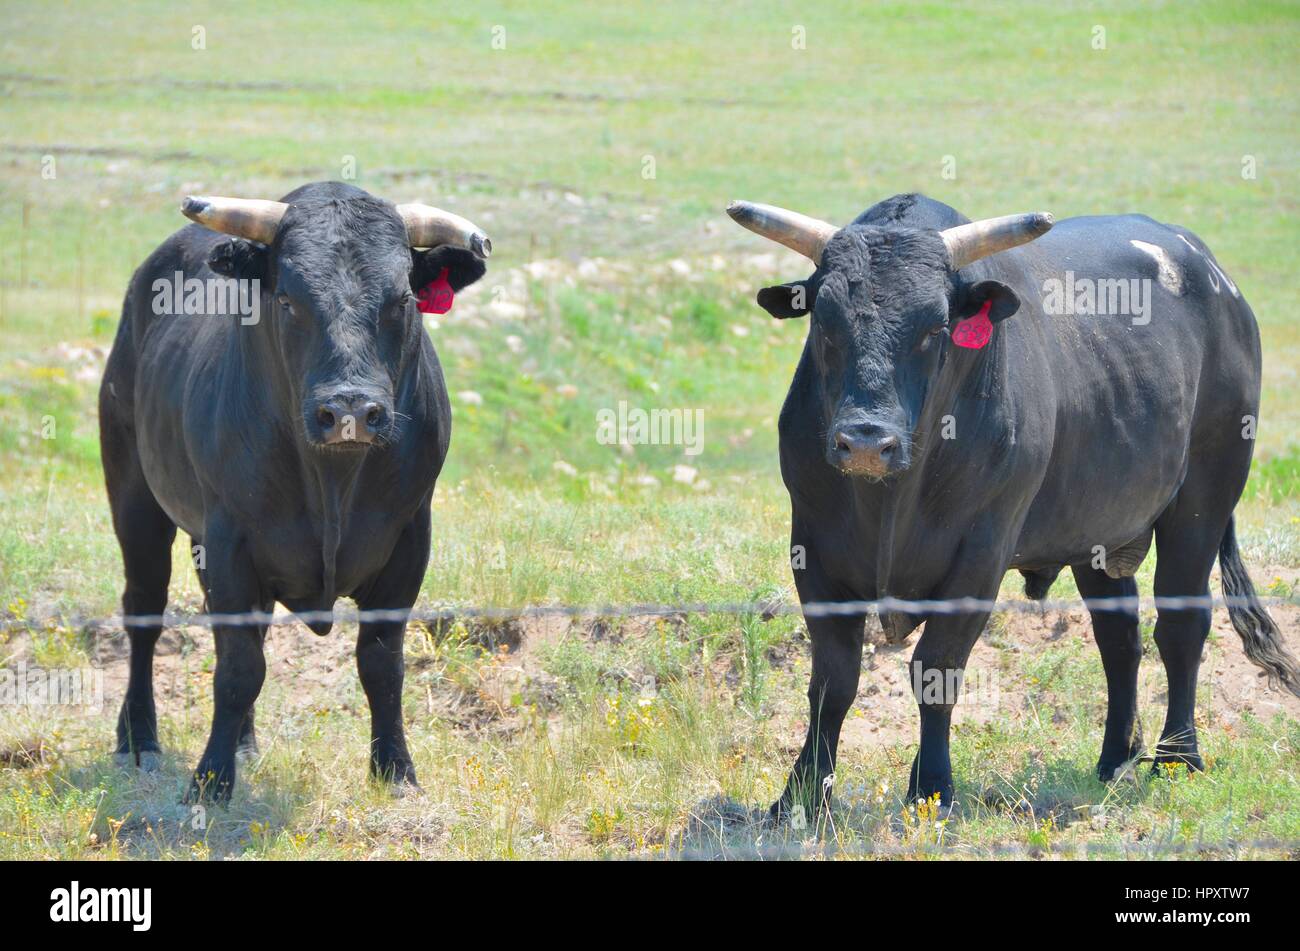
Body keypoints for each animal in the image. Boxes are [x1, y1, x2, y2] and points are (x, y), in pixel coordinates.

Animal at [99, 181, 489, 801]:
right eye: (287, 300)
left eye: (402, 300)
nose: (350, 411)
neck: (331, 482)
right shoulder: (231, 539)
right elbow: (238, 667)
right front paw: (209, 782)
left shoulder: (410, 538)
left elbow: (381, 662)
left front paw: (396, 770)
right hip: (134, 494)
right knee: (144, 610)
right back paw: (139, 738)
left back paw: (243, 742)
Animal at [726, 192, 1300, 818]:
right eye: (824, 324)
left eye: (936, 327)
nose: (866, 442)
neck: (890, 500)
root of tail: (1218, 280)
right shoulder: (813, 547)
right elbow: (833, 678)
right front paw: (802, 794)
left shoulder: (981, 553)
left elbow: (937, 667)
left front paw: (932, 790)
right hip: (1096, 527)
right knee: (1118, 637)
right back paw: (1115, 759)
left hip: (1205, 496)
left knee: (1181, 624)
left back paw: (1178, 759)